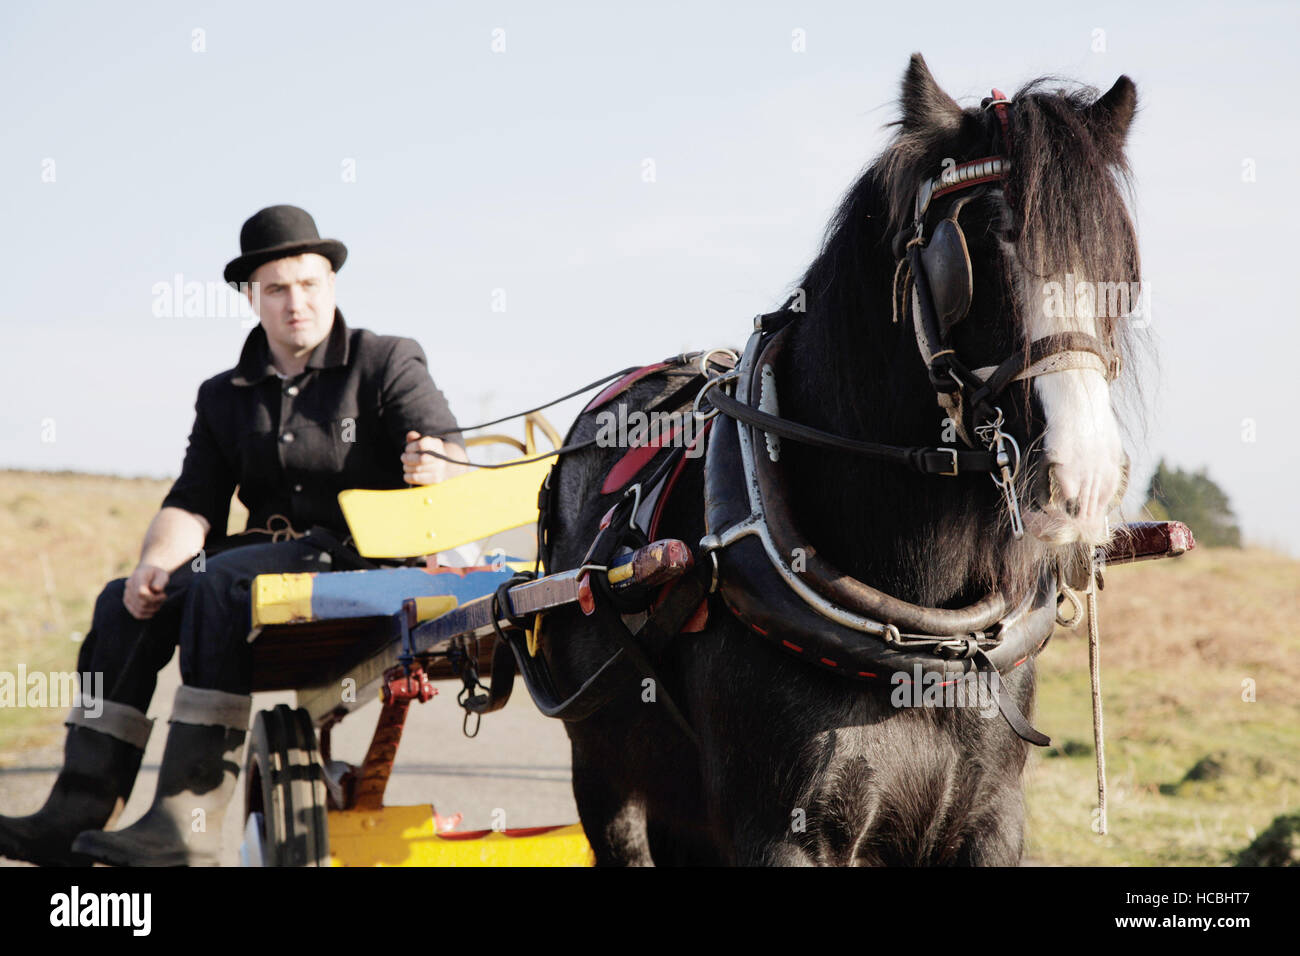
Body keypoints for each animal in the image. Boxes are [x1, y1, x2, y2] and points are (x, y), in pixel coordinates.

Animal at [537, 54, 1143, 866]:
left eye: (1117, 264)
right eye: (978, 246)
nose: (1087, 473)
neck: (926, 642)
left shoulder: (991, 820)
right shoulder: (784, 831)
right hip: (606, 777)